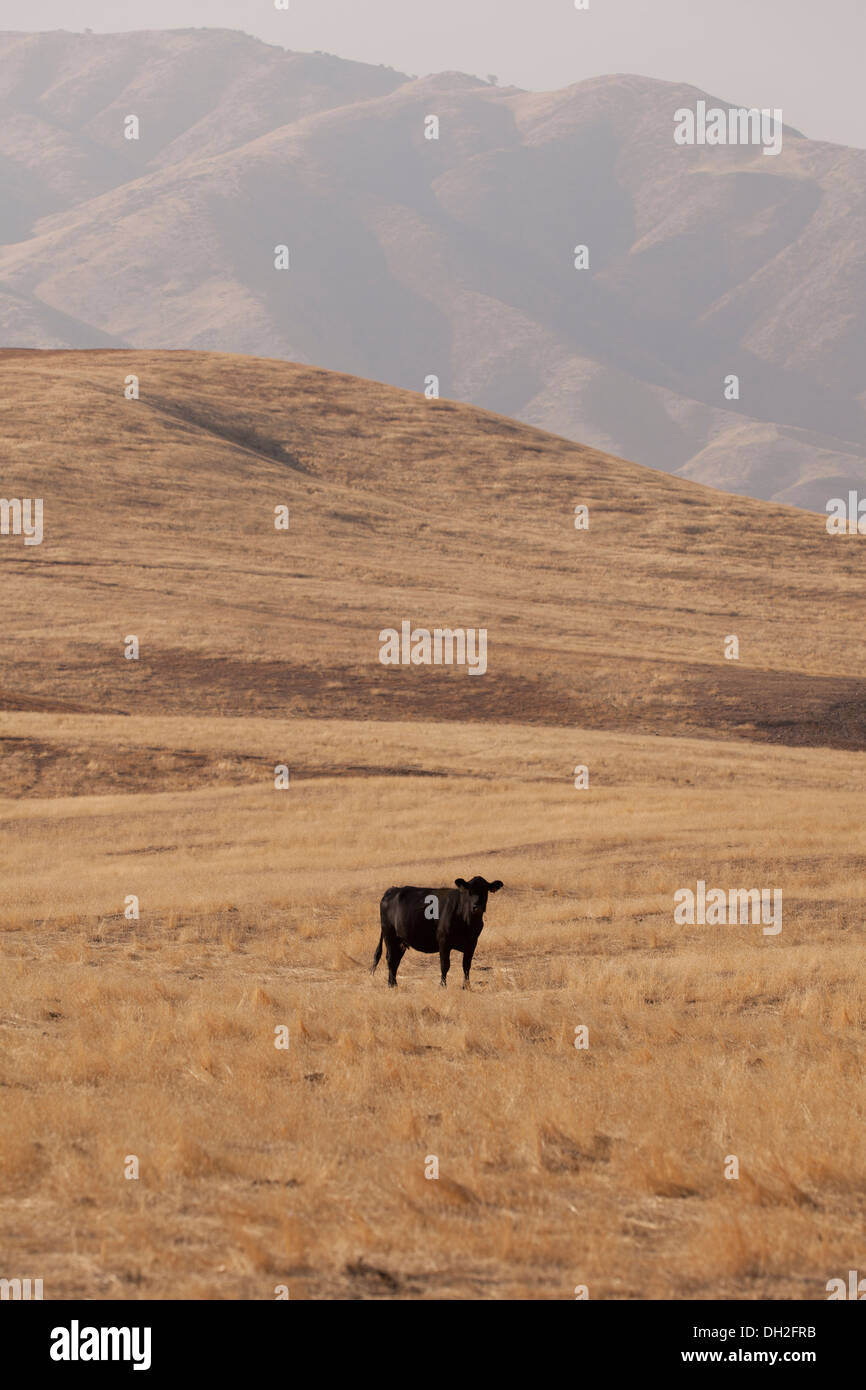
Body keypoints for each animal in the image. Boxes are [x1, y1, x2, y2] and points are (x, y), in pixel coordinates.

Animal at [371, 876, 504, 989]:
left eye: (485, 891)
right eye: (469, 891)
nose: (477, 907)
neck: (467, 921)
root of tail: (392, 890)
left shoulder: (472, 943)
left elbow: (466, 965)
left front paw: (466, 987)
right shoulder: (443, 941)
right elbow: (445, 965)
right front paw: (442, 986)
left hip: (401, 941)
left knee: (396, 960)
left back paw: (394, 984)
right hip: (389, 935)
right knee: (390, 959)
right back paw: (391, 985)